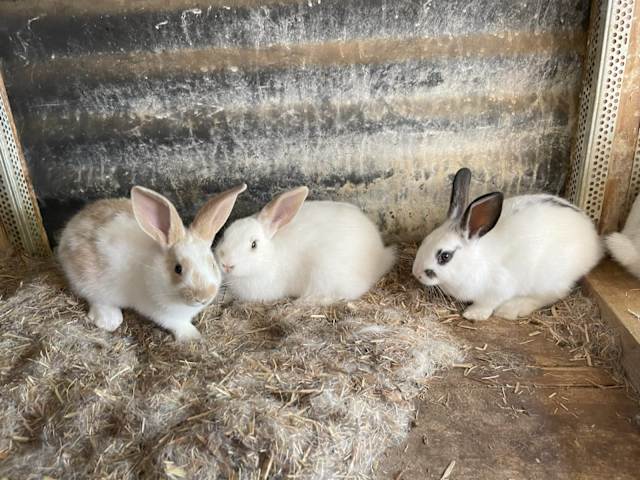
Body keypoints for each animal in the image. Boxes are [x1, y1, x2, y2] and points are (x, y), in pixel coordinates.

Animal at [57, 183, 246, 341]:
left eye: (212, 264)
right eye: (178, 269)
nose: (203, 297)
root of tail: (69, 231)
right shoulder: (163, 313)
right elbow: (179, 325)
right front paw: (194, 337)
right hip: (91, 282)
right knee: (95, 298)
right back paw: (110, 320)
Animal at [214, 186, 395, 304]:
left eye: (253, 245)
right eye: (224, 236)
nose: (227, 265)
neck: (270, 256)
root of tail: (381, 255)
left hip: (325, 273)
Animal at [412, 168, 603, 321]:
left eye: (445, 256)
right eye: (425, 240)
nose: (416, 274)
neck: (474, 262)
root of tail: (593, 240)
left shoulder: (498, 288)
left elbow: (487, 304)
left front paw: (473, 314)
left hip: (550, 279)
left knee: (551, 295)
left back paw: (511, 309)